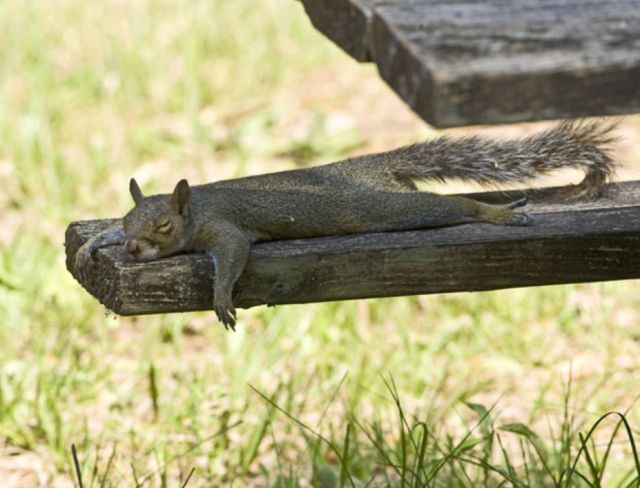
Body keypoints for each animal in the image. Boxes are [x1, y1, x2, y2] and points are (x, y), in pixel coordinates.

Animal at [74, 120, 617, 330]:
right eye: (129, 220)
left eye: (165, 226)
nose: (133, 251)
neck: (197, 209)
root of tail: (375, 168)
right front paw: (94, 244)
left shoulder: (223, 229)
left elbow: (231, 258)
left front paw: (222, 297)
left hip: (386, 210)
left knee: (449, 207)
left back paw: (495, 213)